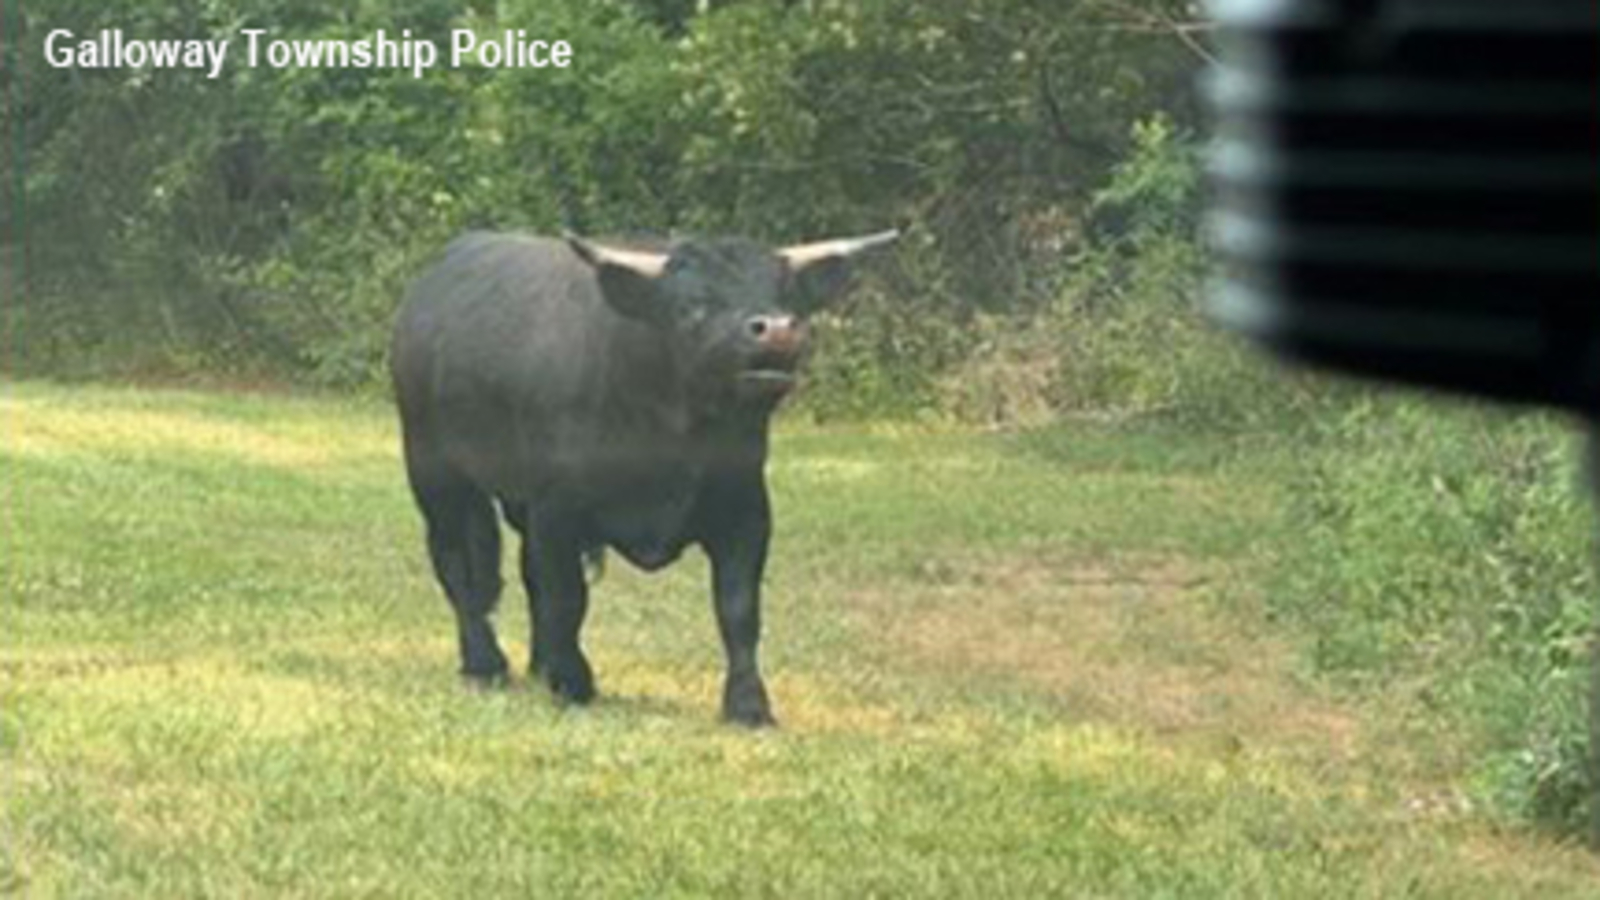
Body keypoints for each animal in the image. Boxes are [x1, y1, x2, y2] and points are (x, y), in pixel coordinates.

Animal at [390, 228, 899, 726]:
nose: (775, 328)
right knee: (459, 568)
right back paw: (484, 663)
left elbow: (738, 609)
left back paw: (538, 665)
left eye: (787, 296)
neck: (670, 434)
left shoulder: (747, 511)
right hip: (438, 480)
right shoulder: (557, 510)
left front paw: (749, 705)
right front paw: (573, 681)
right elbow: (567, 597)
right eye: (693, 304)